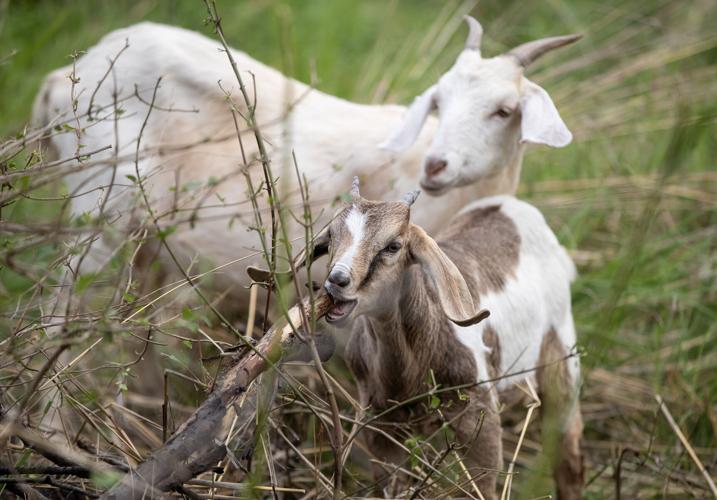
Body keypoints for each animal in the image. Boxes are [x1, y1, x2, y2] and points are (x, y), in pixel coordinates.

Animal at [294, 178, 583, 499]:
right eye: (331, 237)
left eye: (393, 246)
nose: (337, 281)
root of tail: (510, 205)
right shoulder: (380, 423)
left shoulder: (478, 416)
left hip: (561, 353)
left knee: (568, 444)